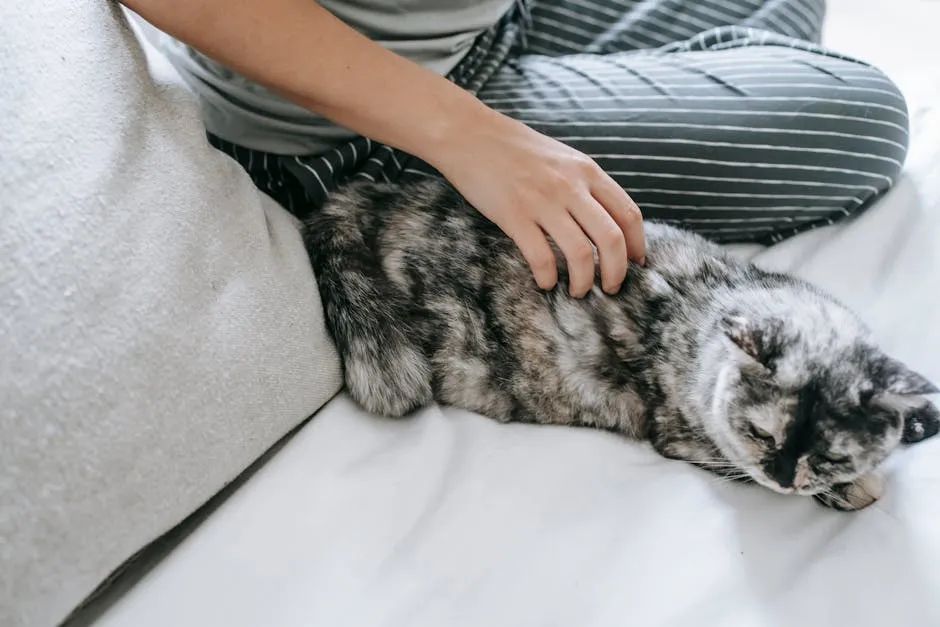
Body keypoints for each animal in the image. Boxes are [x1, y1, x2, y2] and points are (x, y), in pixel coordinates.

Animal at [302, 179, 940, 512]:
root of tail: (375, 191)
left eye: (829, 452)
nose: (784, 477)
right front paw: (858, 488)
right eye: (761, 436)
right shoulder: (689, 439)